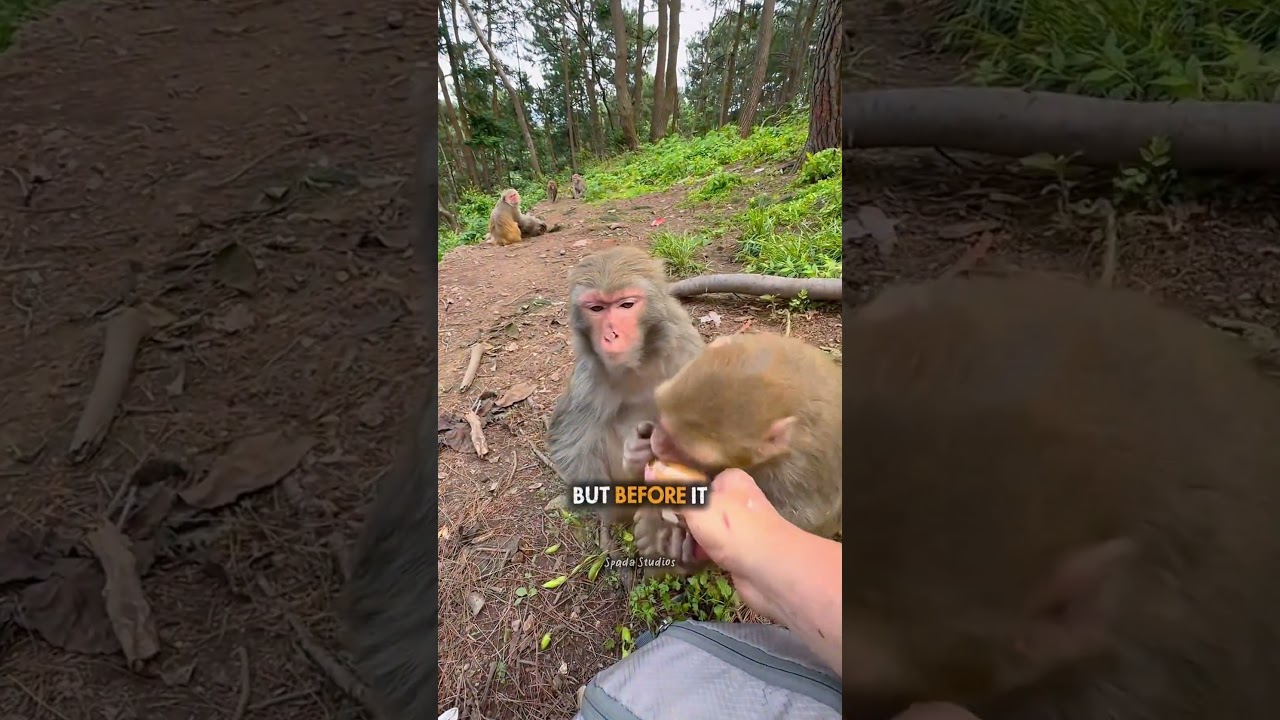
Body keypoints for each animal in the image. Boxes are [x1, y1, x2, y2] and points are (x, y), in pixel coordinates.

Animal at [545, 246, 704, 579]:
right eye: (596, 308)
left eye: (626, 305)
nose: (611, 335)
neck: (640, 361)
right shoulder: (589, 377)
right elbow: (568, 445)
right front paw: (634, 463)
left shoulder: (686, 350)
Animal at [622, 332, 843, 573]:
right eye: (660, 413)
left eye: (689, 452)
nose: (656, 443)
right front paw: (637, 452)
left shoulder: (799, 472)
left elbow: (803, 519)